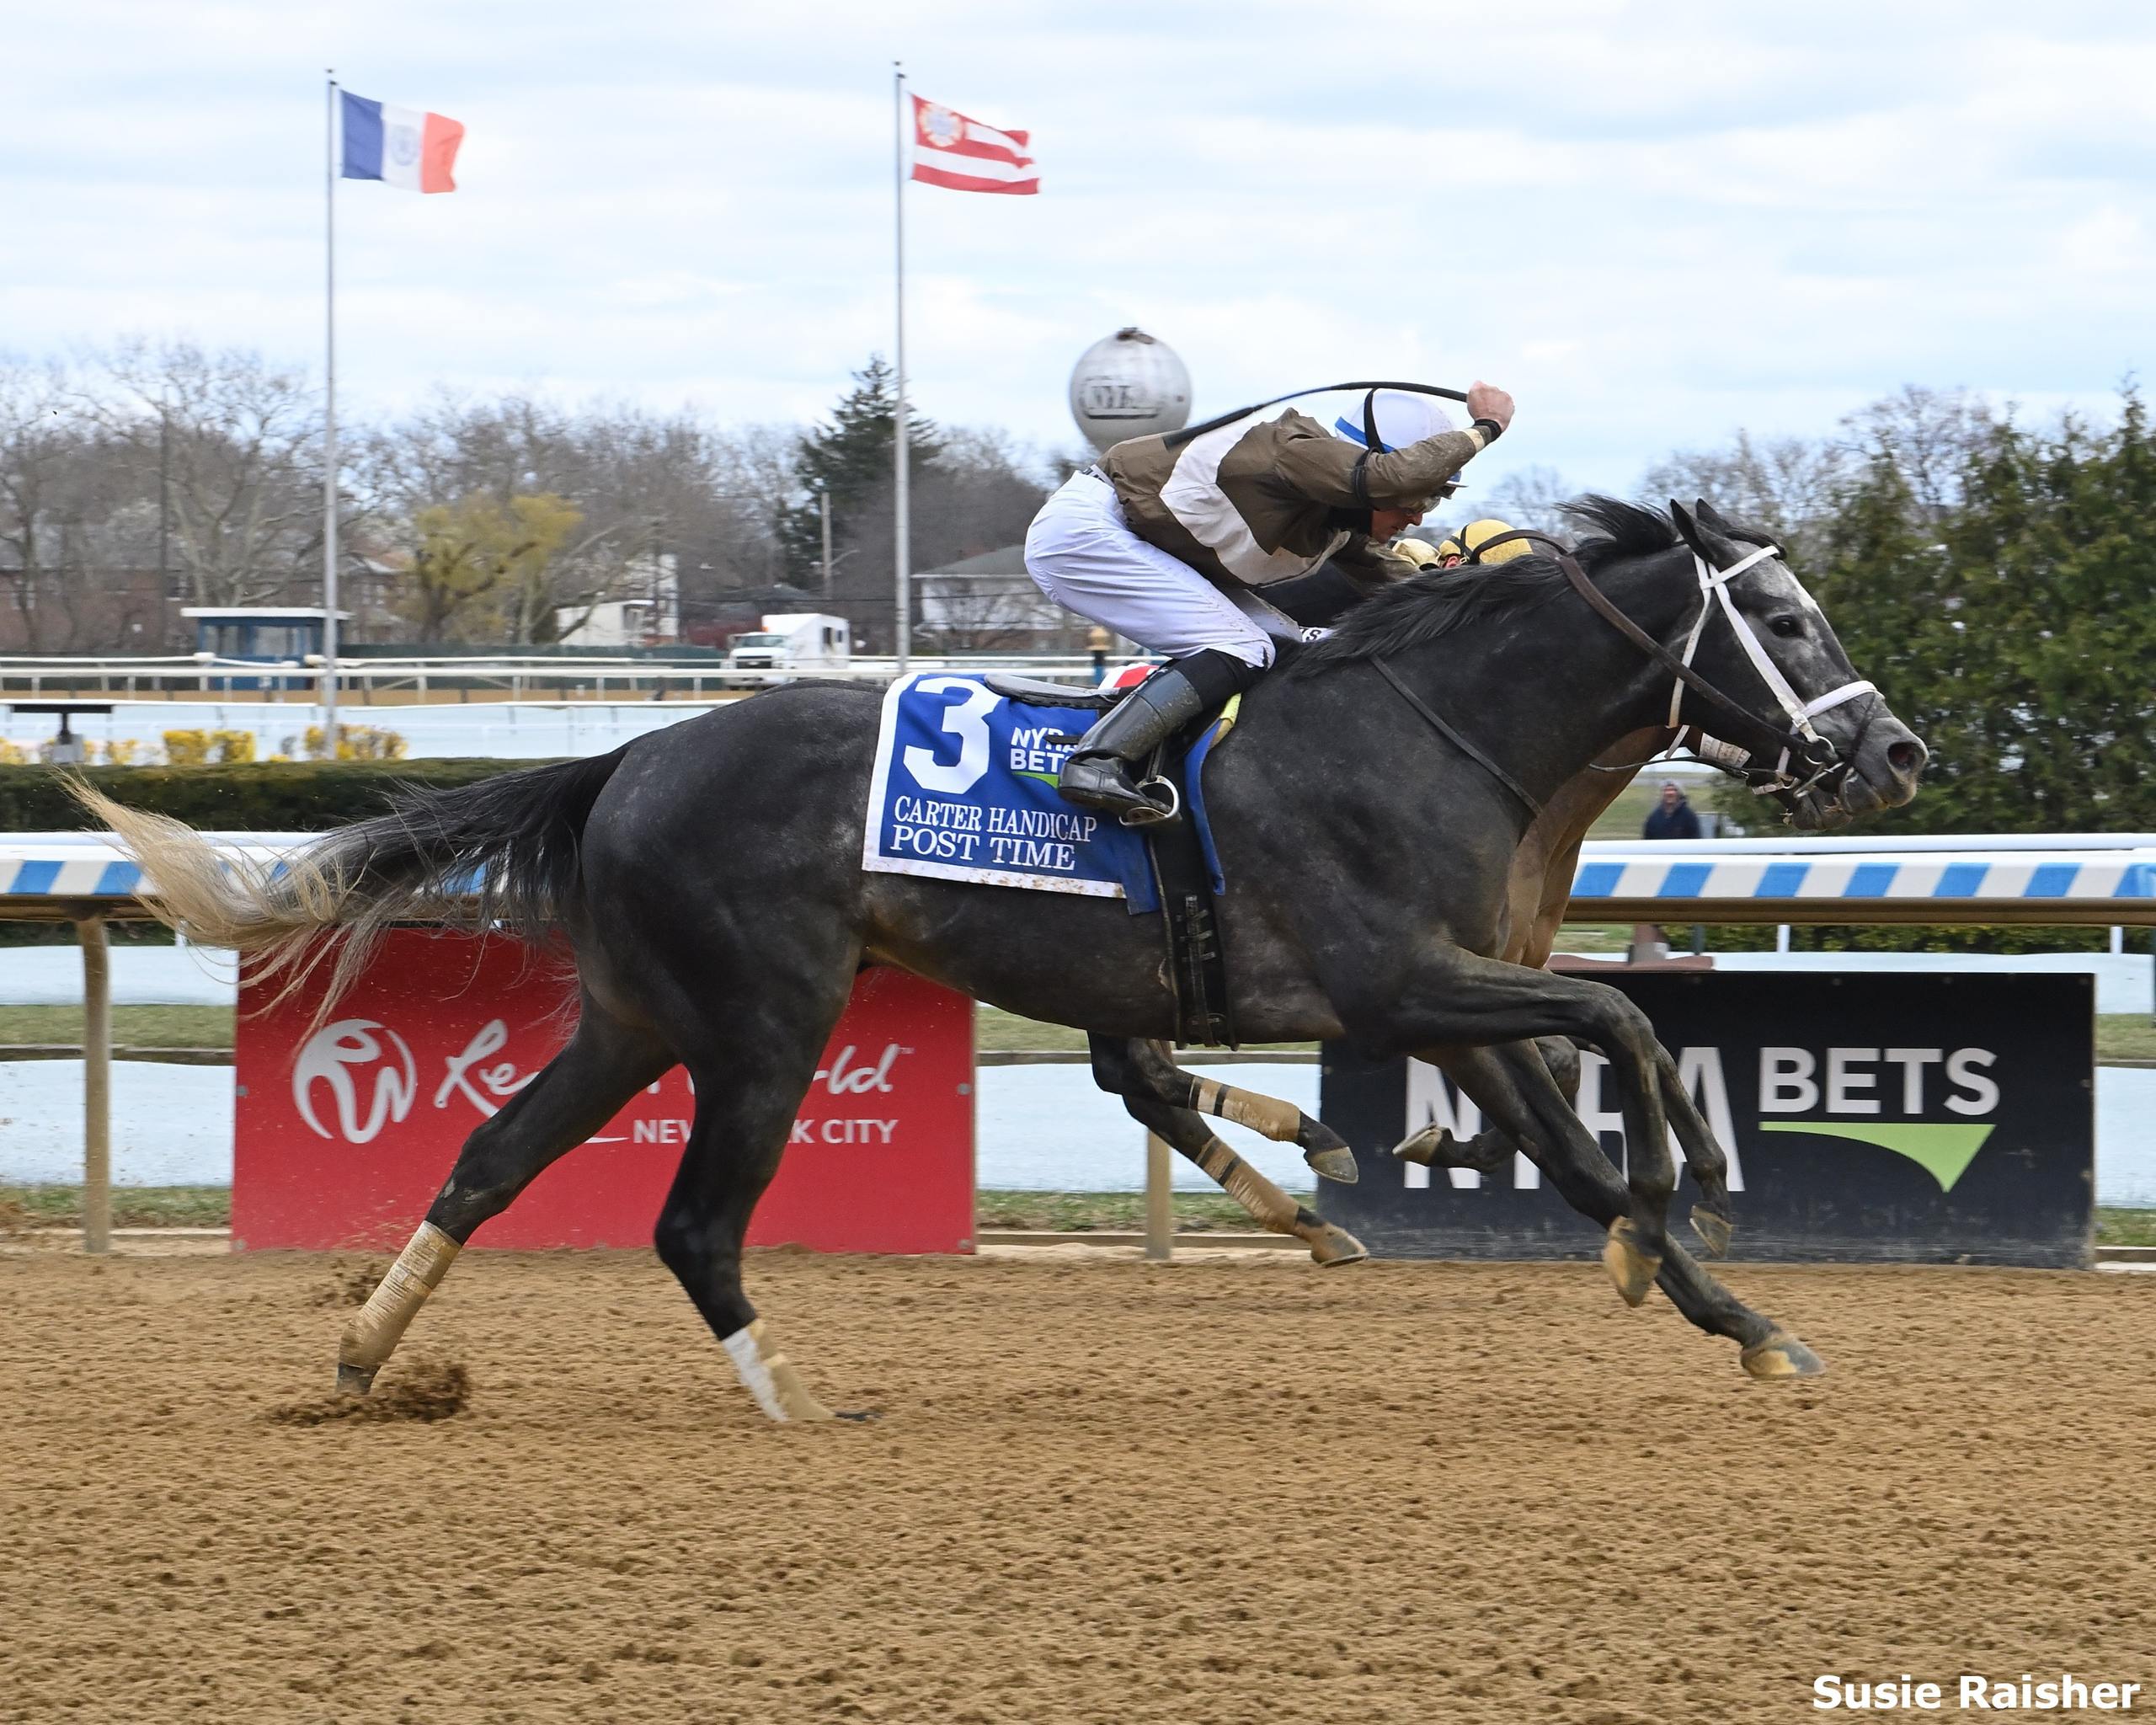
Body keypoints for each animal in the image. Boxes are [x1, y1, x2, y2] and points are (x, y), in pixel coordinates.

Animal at [81, 496, 1925, 1421]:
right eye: (1789, 619)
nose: (1892, 754)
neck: (1431, 726)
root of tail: (633, 752)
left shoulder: (1451, 996)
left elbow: (1572, 1125)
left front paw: (1733, 1315)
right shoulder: (1397, 980)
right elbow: (1621, 1018)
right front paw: (1695, 1186)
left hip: (635, 1011)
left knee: (488, 1155)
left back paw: (364, 1359)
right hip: (764, 1021)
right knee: (691, 1219)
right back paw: (789, 1395)